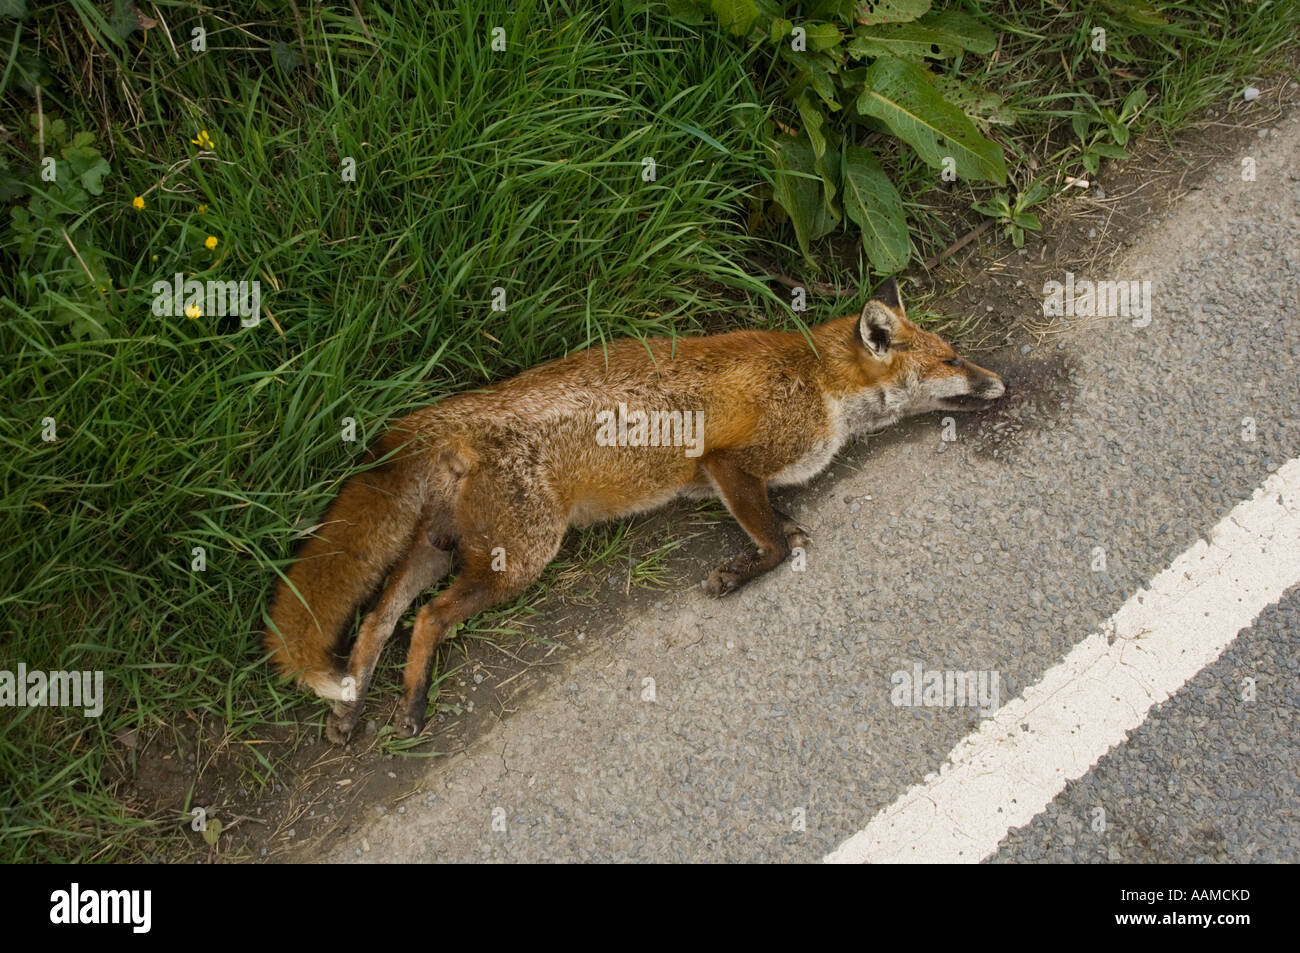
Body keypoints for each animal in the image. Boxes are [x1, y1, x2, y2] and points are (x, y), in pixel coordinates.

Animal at [265, 278, 1005, 744]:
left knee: (377, 621)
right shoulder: (728, 462)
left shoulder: (724, 481)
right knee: (426, 618)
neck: (820, 384)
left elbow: (780, 528)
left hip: (440, 547)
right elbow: (775, 543)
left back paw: (352, 708)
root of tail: (444, 414)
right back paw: (413, 707)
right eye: (953, 358)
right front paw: (736, 573)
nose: (1002, 381)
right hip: (518, 559)